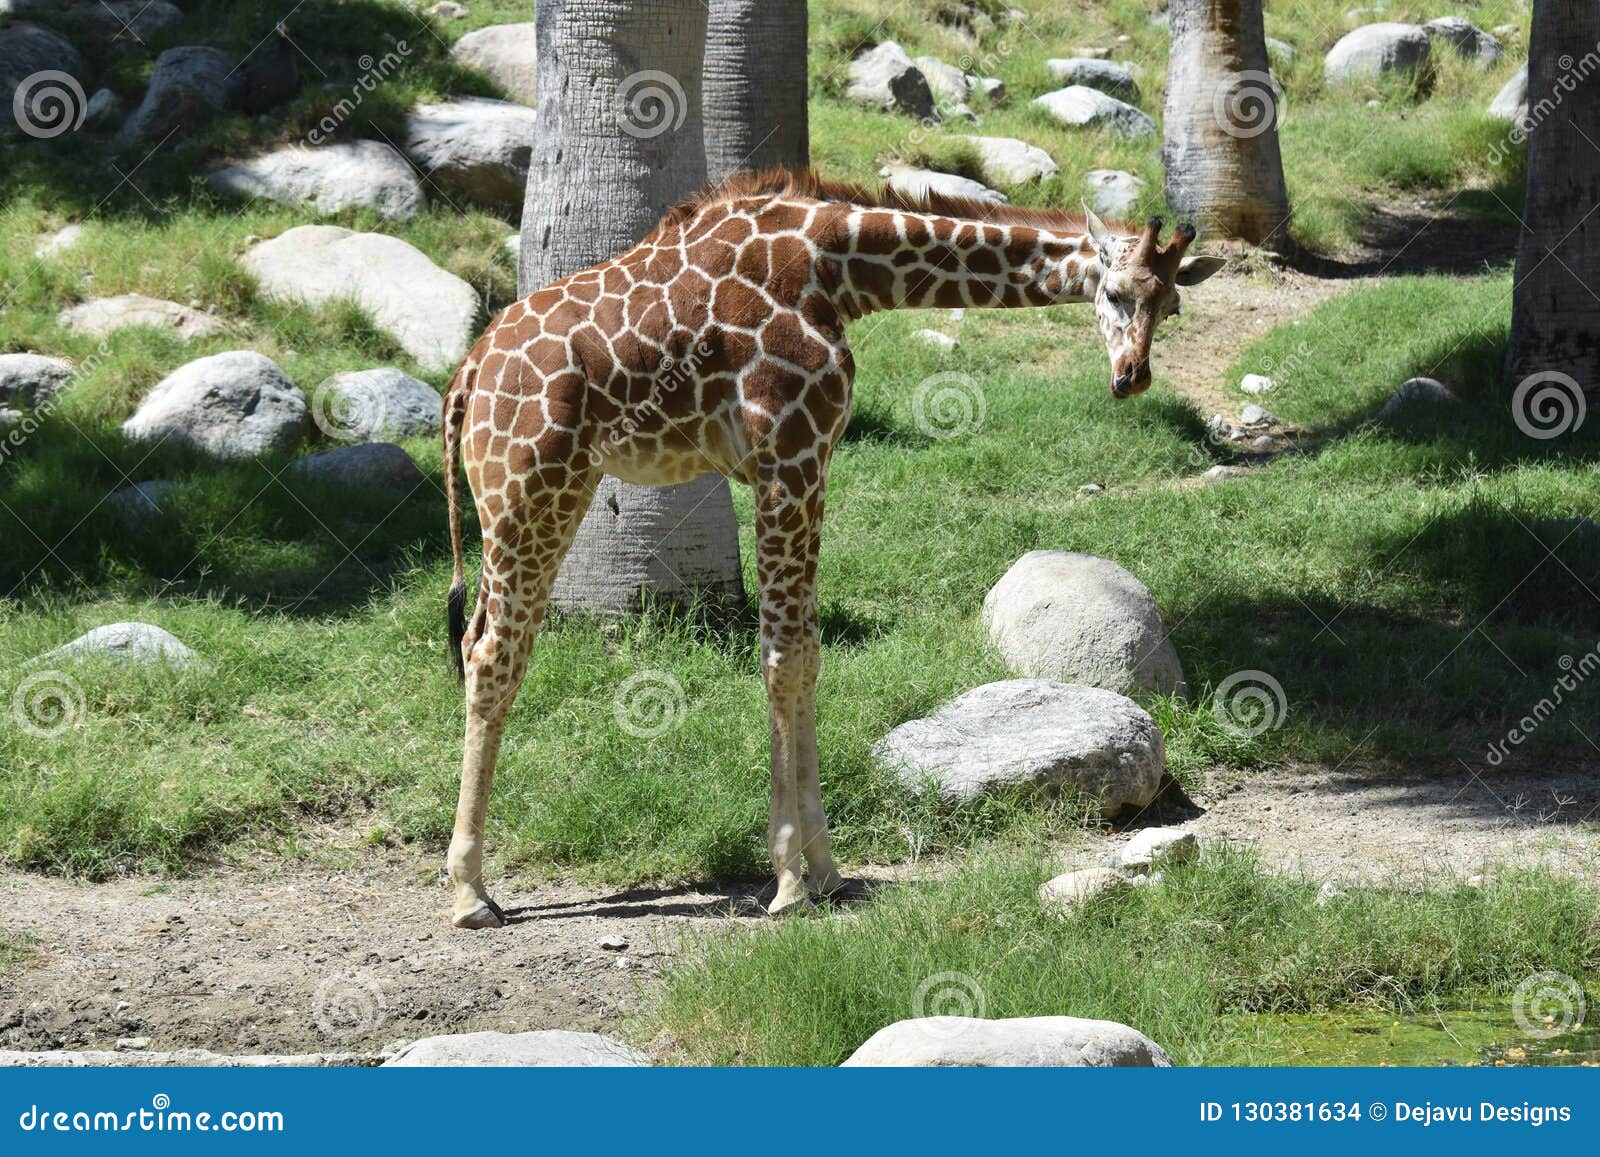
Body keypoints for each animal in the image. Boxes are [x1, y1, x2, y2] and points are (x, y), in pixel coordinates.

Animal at [441, 169, 1225, 929]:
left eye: (1172, 307)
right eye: (1114, 292)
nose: (1131, 378)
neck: (837, 269)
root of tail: (466, 375)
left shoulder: (804, 460)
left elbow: (809, 655)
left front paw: (825, 871)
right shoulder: (790, 451)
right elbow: (784, 656)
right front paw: (790, 878)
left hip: (534, 496)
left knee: (476, 637)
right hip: (531, 486)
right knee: (494, 653)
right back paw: (470, 892)